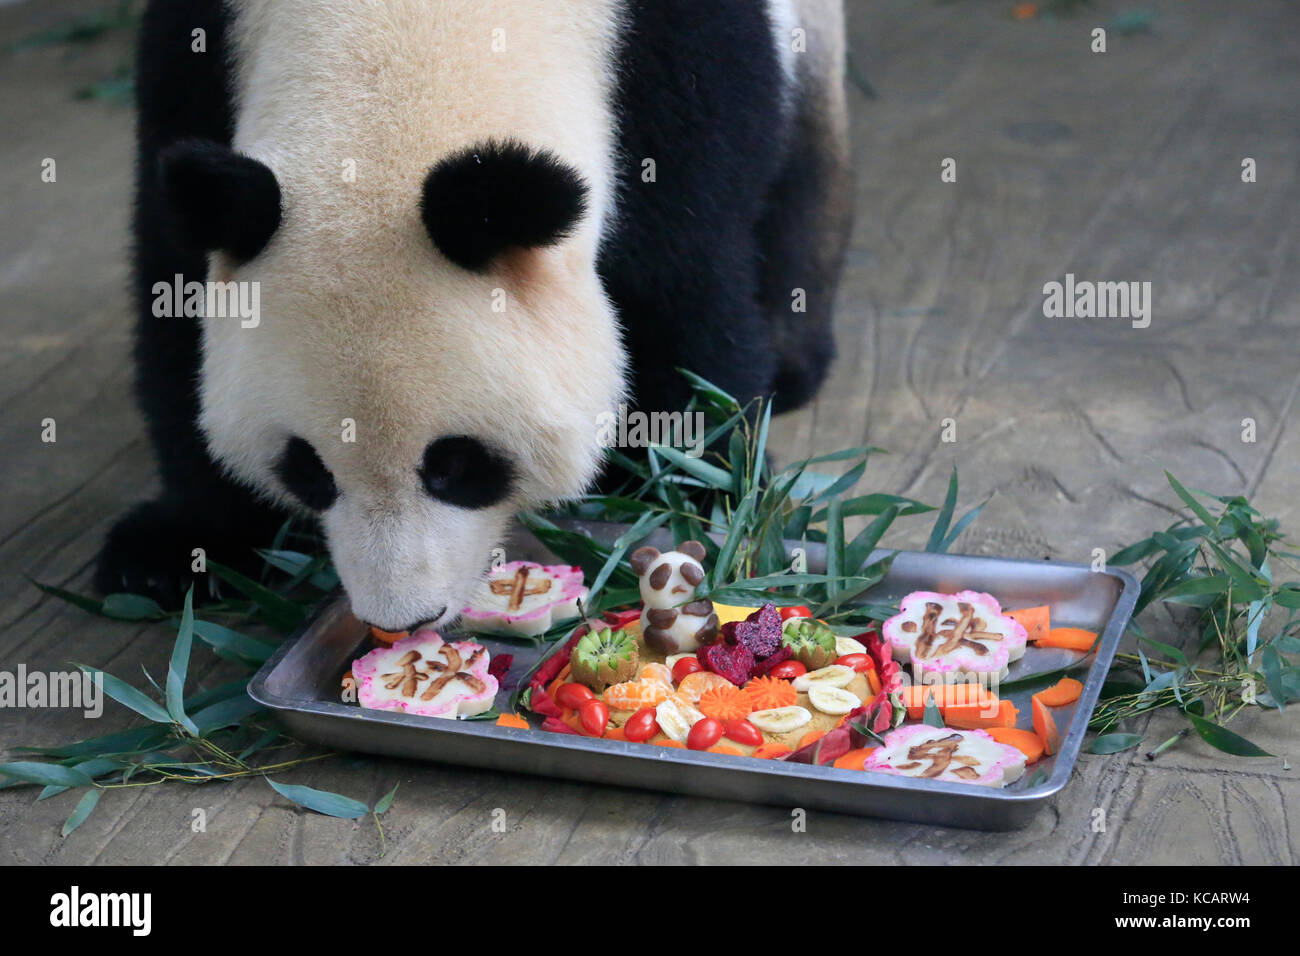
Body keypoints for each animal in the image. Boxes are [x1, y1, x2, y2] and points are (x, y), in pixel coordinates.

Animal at [96, 0, 851, 633]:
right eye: (307, 469)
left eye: (457, 464)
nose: (405, 618)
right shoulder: (199, 53)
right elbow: (173, 289)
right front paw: (177, 548)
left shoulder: (678, 61)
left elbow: (684, 280)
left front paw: (693, 488)